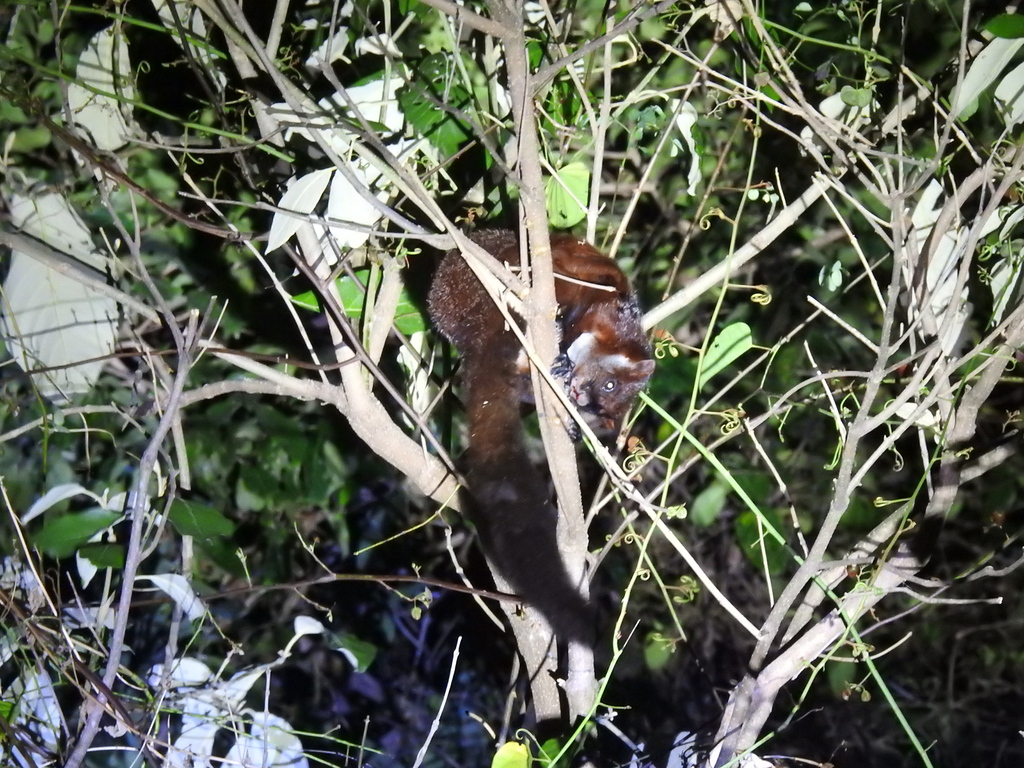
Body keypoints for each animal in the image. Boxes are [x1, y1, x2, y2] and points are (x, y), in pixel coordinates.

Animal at [428, 229, 654, 643]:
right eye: (610, 386)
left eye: (600, 409)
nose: (581, 398)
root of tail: (478, 327)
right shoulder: (602, 304)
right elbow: (587, 298)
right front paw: (568, 338)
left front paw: (573, 424)